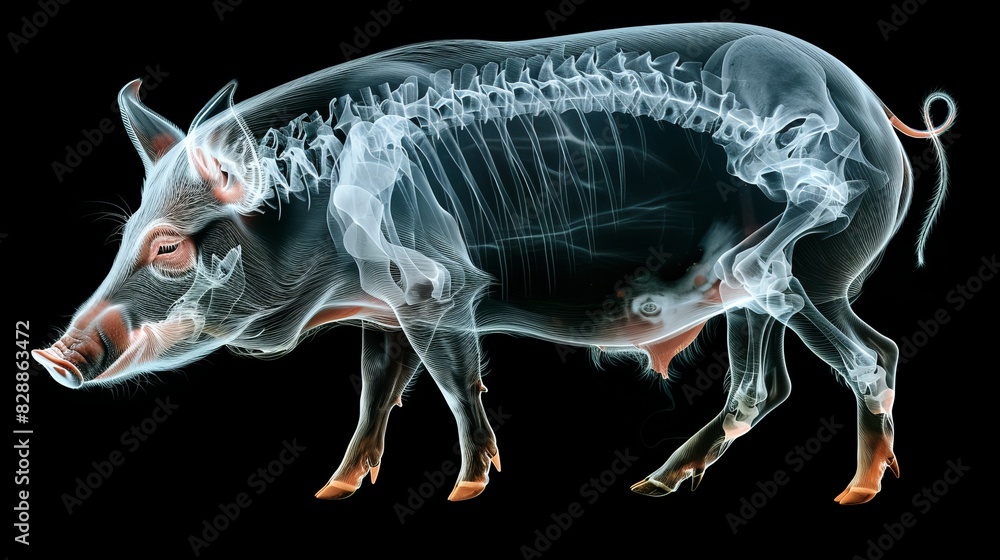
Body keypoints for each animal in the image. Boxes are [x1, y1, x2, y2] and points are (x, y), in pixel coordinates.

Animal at [33, 23, 955, 504]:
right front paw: (337, 488)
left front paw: (468, 489)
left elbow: (454, 382)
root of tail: (881, 115)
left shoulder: (440, 288)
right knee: (772, 382)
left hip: (801, 275)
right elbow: (377, 390)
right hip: (762, 300)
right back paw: (656, 486)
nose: (53, 354)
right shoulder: (387, 309)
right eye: (128, 231)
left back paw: (857, 492)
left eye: (170, 245)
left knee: (868, 356)